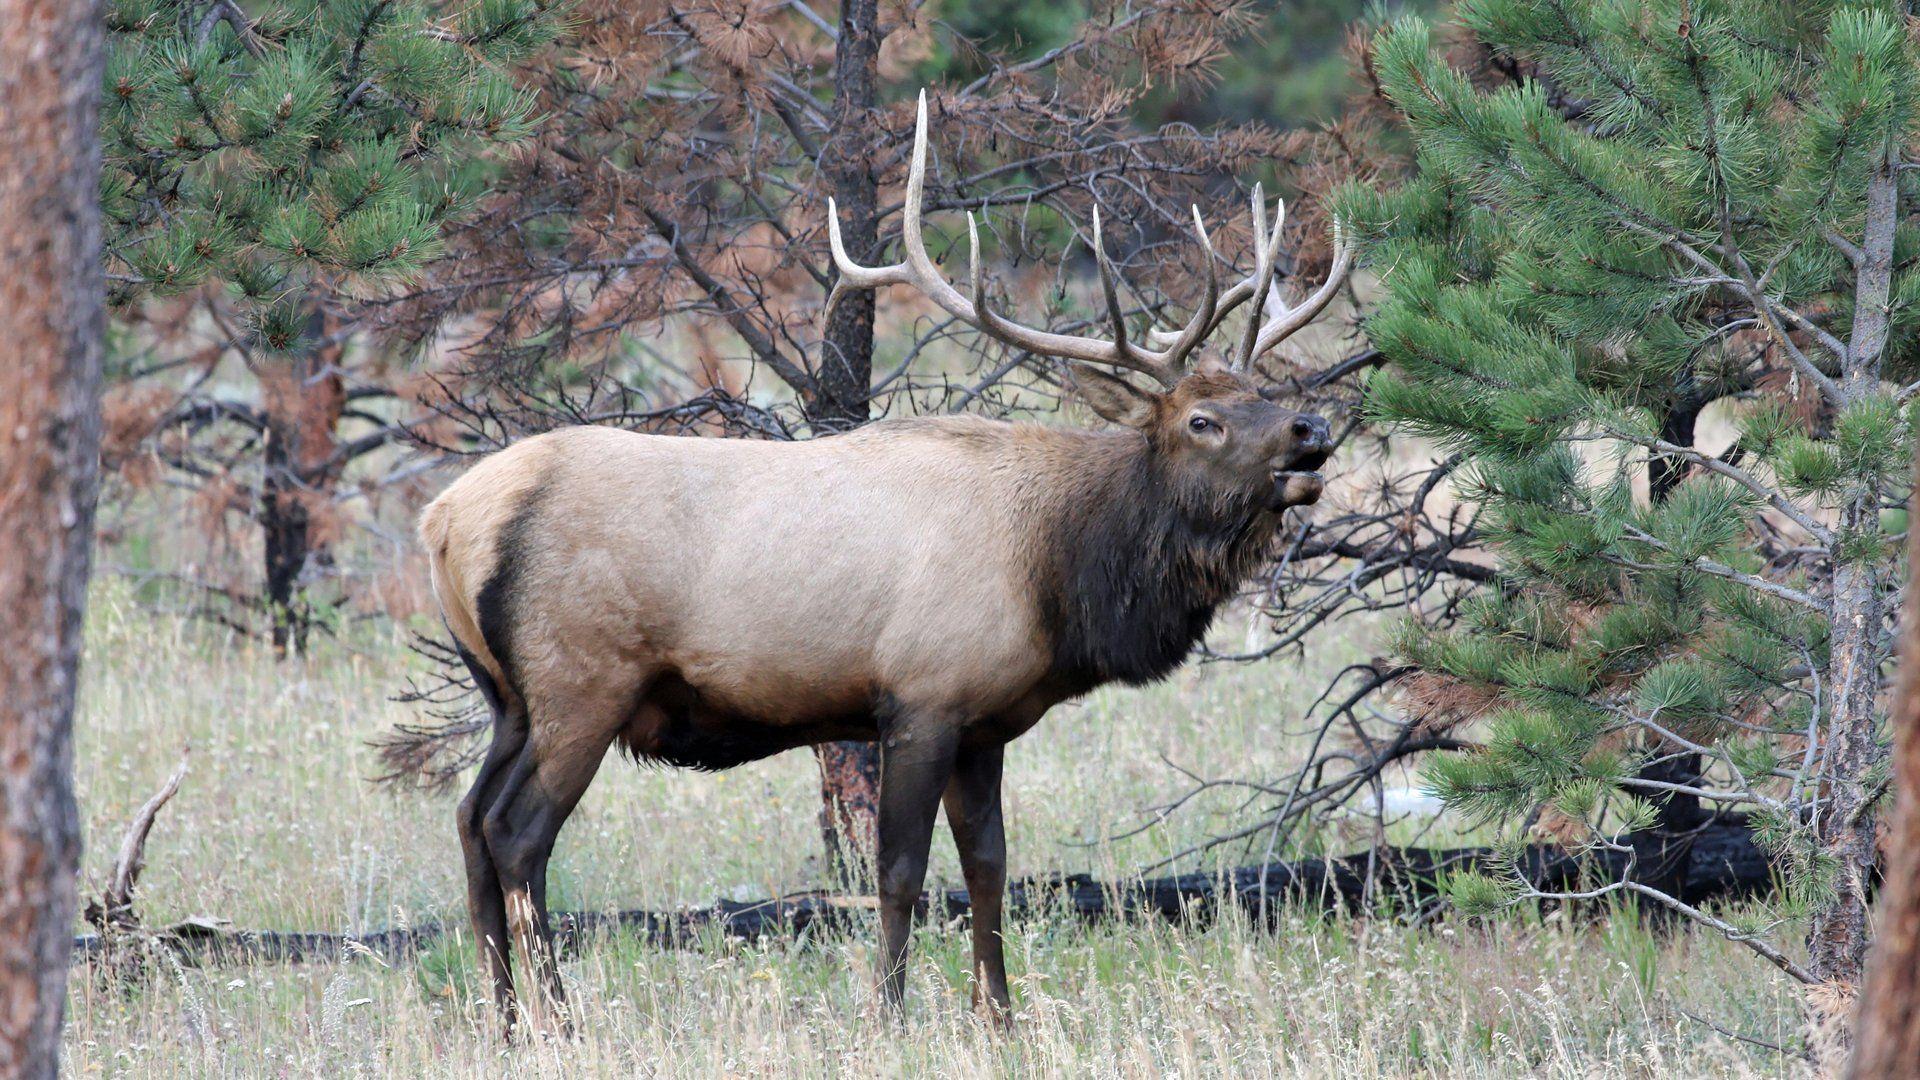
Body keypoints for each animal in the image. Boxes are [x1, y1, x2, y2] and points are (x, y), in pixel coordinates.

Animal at [418, 92, 1353, 1035]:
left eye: (1264, 391)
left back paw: (502, 1020)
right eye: (1203, 421)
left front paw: (998, 1016)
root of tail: (444, 519)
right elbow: (900, 872)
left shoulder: (985, 722)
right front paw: (890, 1014)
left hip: (508, 697)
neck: (1058, 572)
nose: (1312, 428)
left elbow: (989, 867)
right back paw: (557, 1021)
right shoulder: (922, 696)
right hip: (582, 679)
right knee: (518, 832)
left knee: (467, 818)